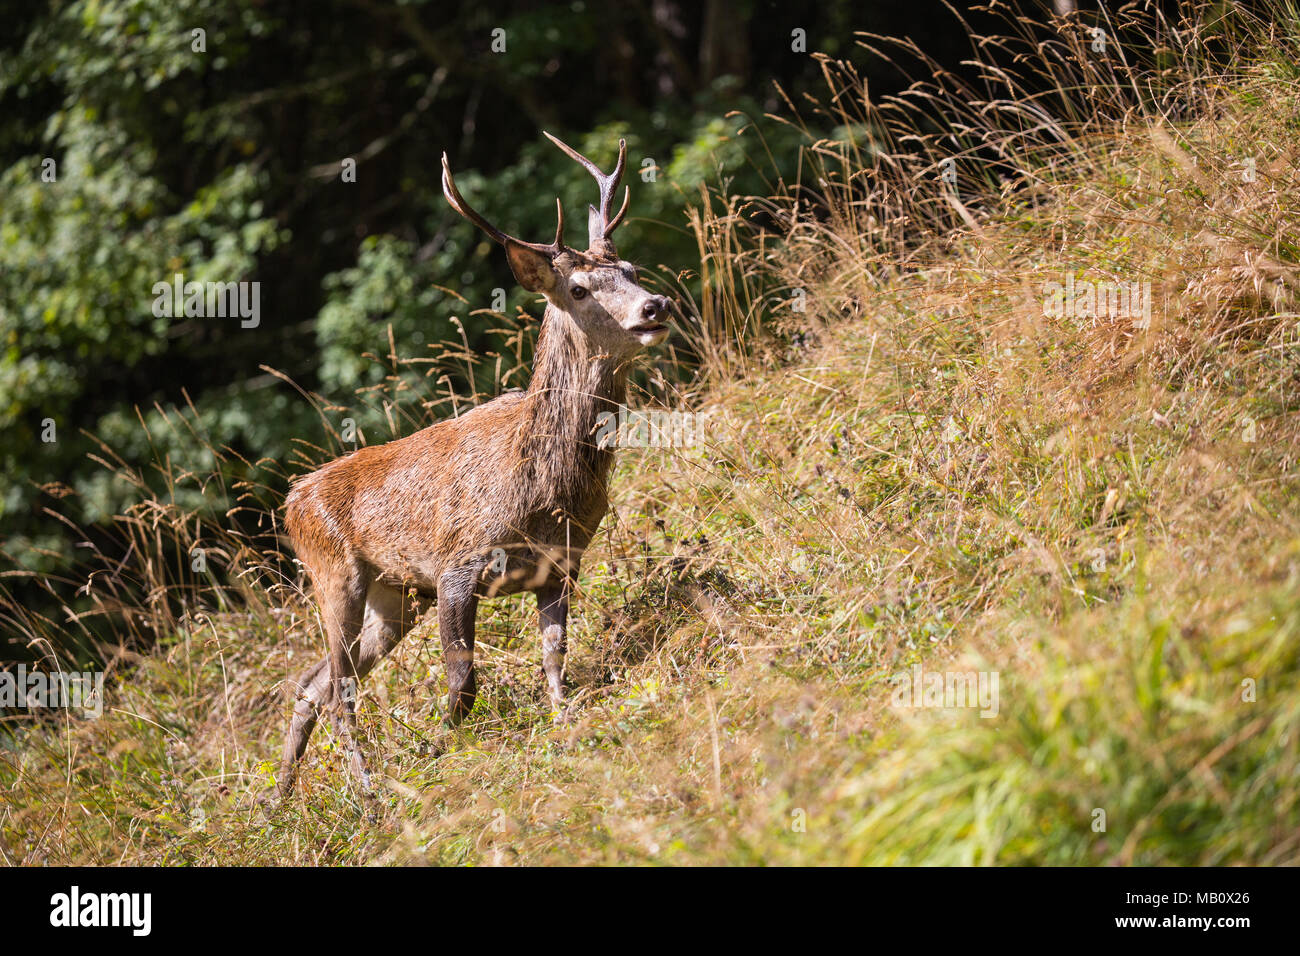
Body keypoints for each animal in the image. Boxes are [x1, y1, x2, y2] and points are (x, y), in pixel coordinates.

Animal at [276, 132, 672, 798]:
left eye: (632, 271)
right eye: (578, 289)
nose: (656, 305)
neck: (542, 489)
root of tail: (290, 500)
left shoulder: (561, 562)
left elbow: (554, 653)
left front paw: (565, 720)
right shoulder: (458, 564)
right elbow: (464, 681)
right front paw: (442, 749)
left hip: (396, 594)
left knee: (312, 683)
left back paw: (279, 796)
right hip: (335, 574)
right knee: (338, 691)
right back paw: (368, 790)